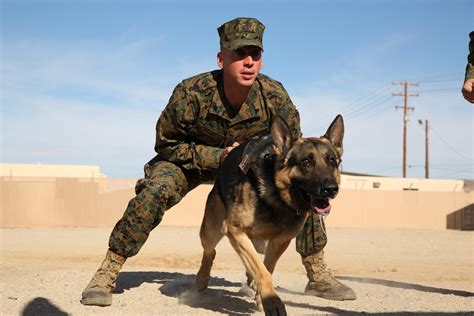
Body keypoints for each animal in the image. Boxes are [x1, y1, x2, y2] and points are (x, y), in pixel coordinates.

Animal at [194, 115, 342, 314]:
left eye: (332, 161)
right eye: (305, 162)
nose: (331, 189)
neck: (278, 198)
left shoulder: (280, 242)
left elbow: (267, 268)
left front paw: (261, 297)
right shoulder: (234, 230)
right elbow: (262, 271)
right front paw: (272, 302)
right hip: (212, 232)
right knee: (210, 251)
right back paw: (202, 279)